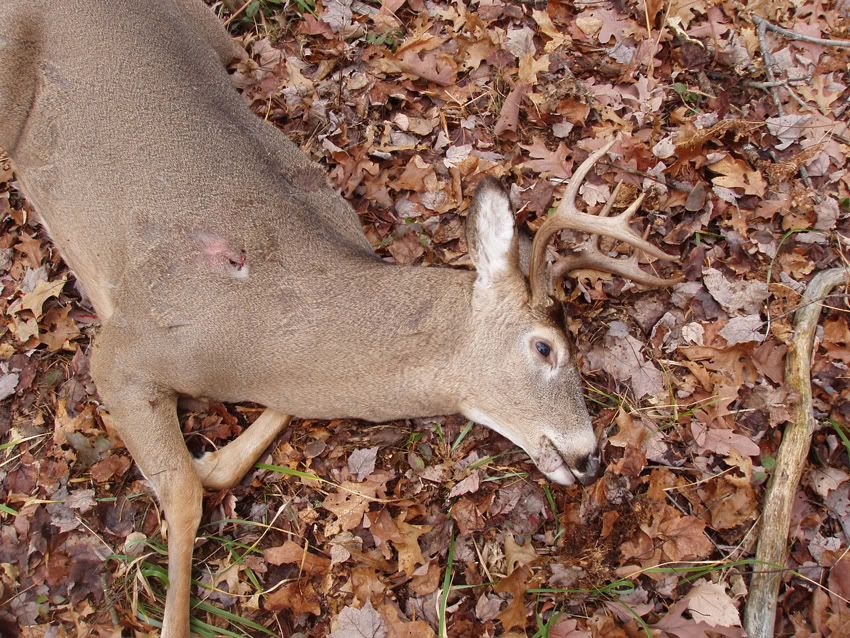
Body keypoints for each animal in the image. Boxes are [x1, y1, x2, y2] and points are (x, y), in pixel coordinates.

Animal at [0, 0, 677, 635]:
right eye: (544, 347)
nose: (590, 457)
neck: (273, 330)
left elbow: (222, 458)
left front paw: (214, 456)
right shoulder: (126, 348)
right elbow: (185, 494)